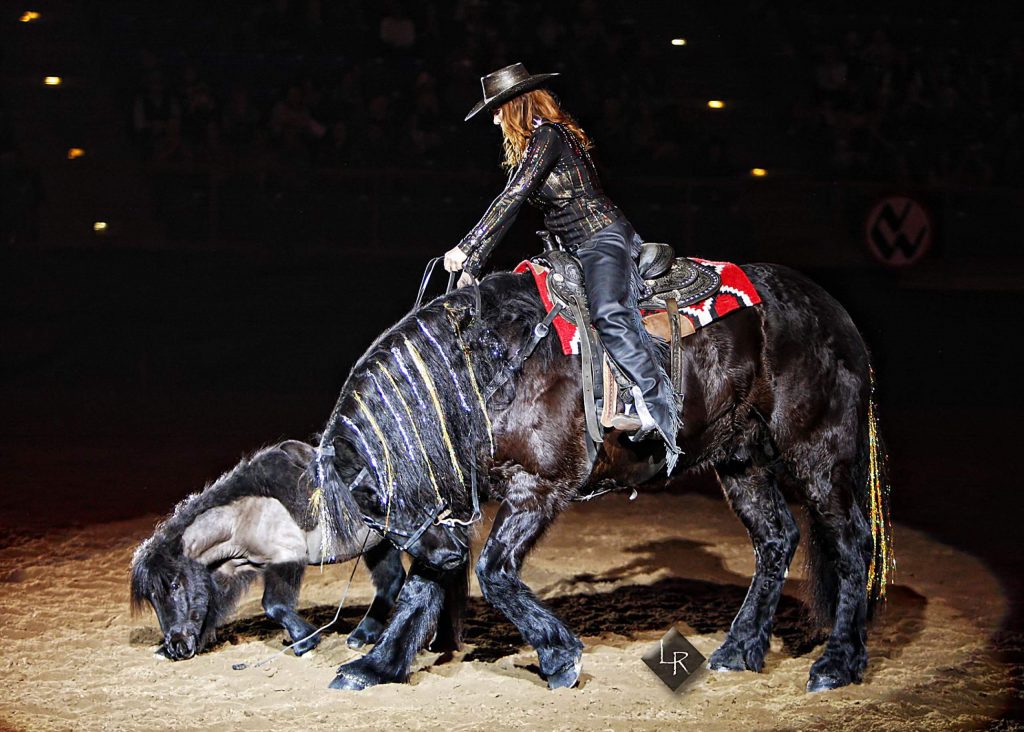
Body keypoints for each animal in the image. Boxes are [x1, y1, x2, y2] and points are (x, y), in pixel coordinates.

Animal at [130, 440, 406, 660]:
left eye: (175, 585)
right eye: (152, 598)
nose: (177, 647)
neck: (245, 515)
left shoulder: (286, 557)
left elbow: (274, 606)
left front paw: (304, 640)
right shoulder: (231, 570)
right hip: (379, 545)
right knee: (391, 581)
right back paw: (363, 634)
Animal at [309, 261, 894, 693]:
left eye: (365, 502)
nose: (451, 554)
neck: (485, 370)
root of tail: (836, 315)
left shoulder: (537, 489)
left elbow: (494, 573)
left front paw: (558, 655)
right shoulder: (448, 520)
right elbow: (421, 589)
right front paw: (374, 666)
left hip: (820, 454)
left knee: (851, 544)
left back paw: (837, 663)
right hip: (741, 460)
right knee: (776, 540)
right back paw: (740, 649)